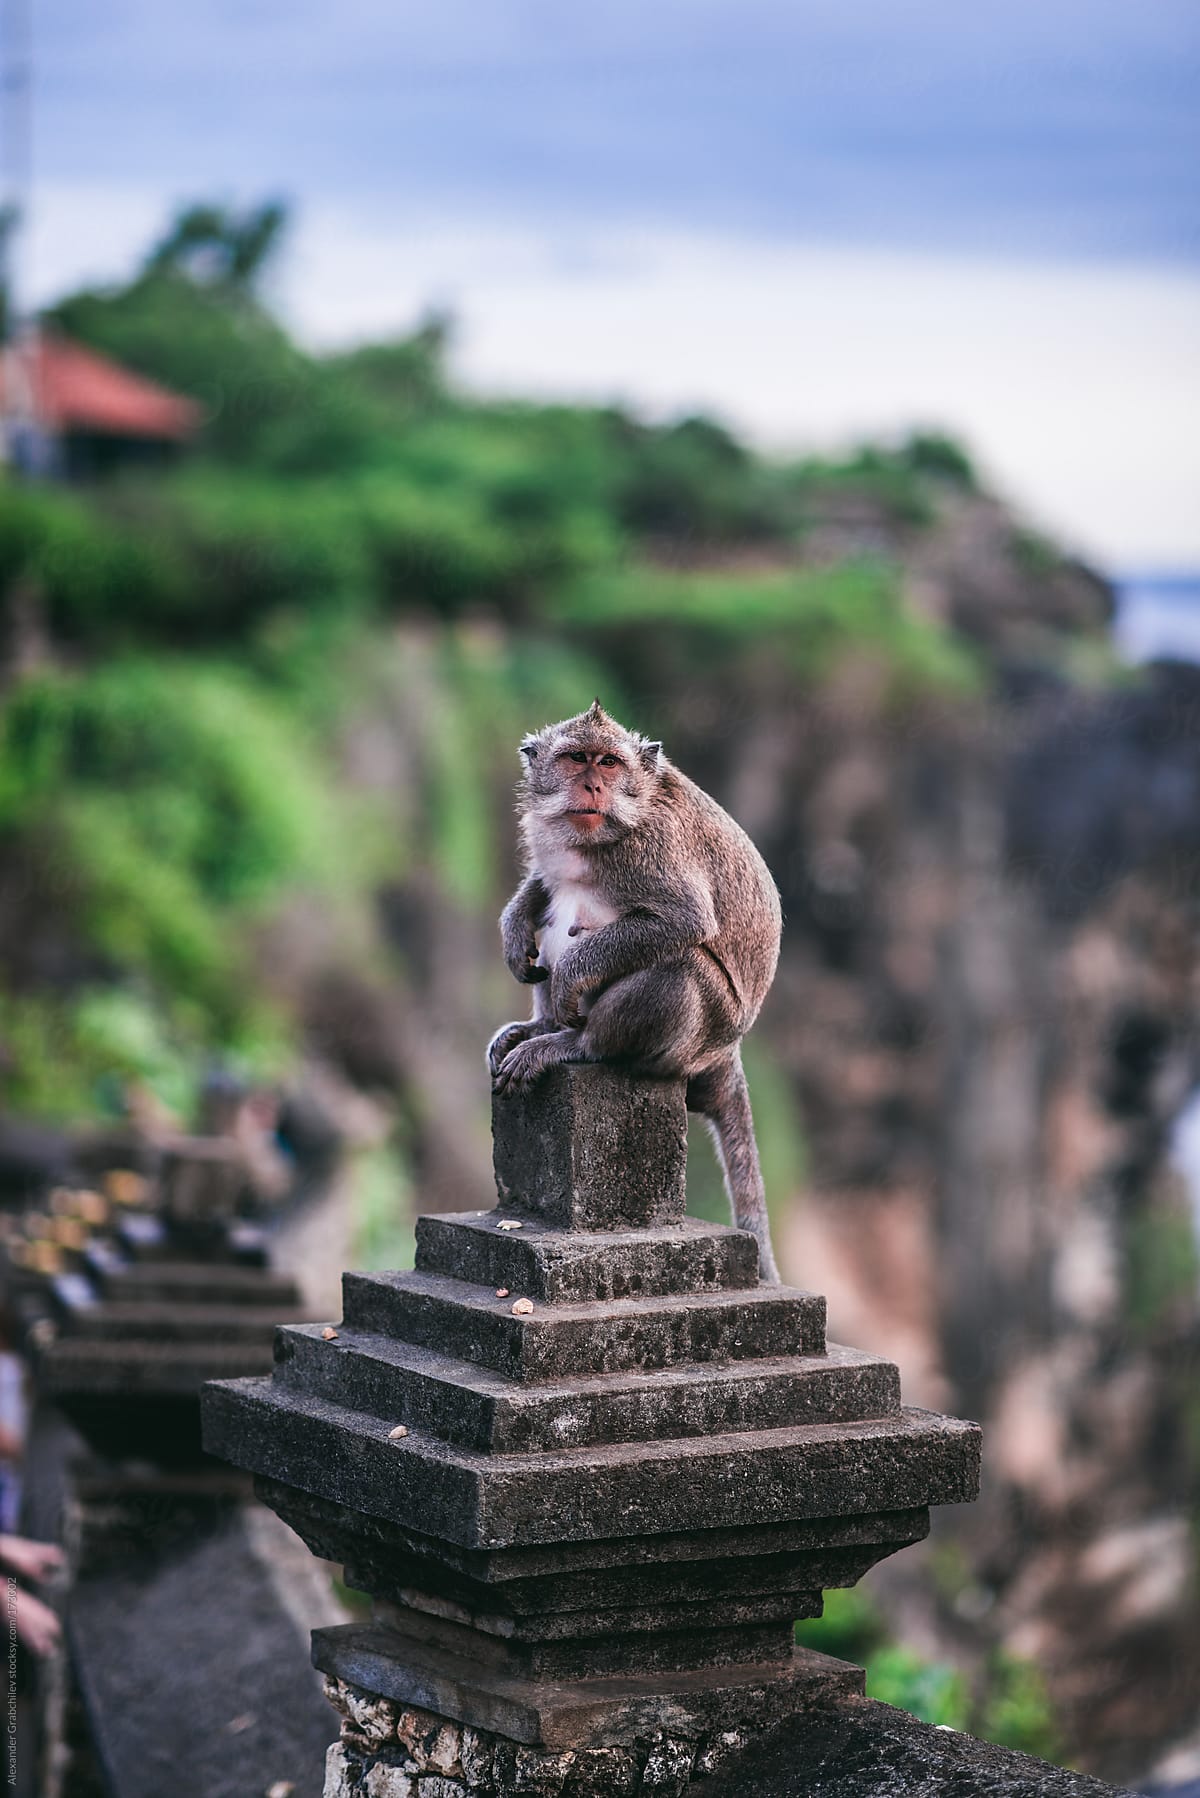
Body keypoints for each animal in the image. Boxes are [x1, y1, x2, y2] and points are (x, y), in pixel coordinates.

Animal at [487, 700, 783, 1283]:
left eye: (609, 762)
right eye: (576, 759)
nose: (593, 786)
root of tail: (727, 1052)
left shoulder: (652, 848)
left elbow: (683, 920)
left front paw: (571, 975)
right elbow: (545, 881)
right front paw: (515, 924)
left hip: (697, 1036)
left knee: (681, 965)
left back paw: (574, 1045)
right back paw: (538, 1026)